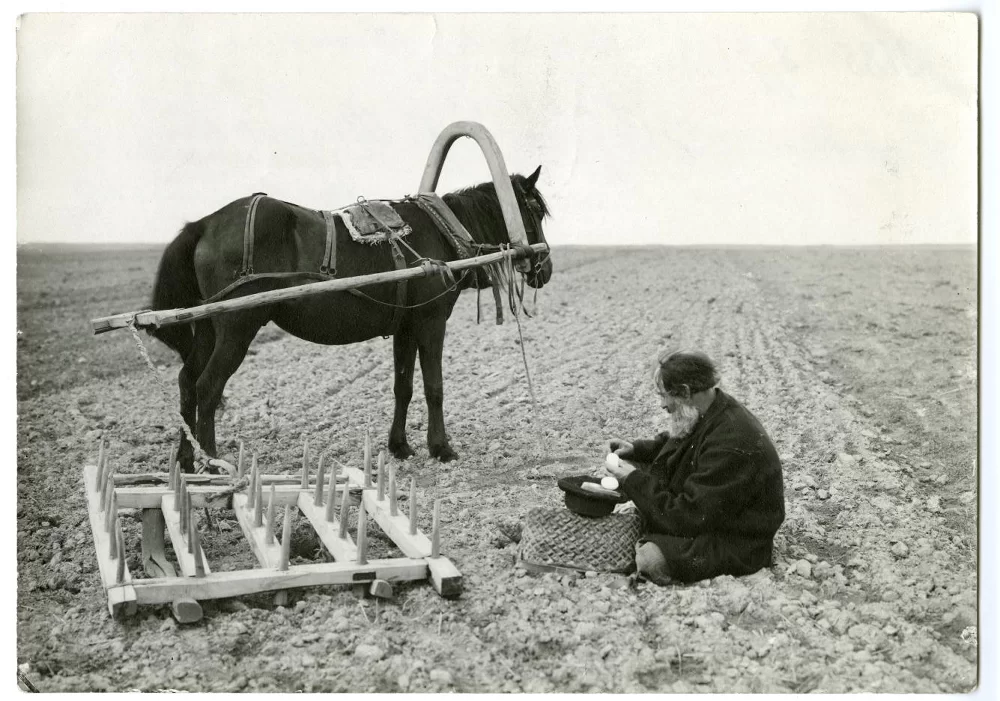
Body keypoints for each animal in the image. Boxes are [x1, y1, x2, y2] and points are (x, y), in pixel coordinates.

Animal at [149, 165, 556, 470]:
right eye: (536, 210)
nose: (545, 268)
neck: (442, 232)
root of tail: (204, 223)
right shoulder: (431, 322)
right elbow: (434, 387)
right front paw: (441, 448)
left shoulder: (406, 327)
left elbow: (403, 387)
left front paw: (399, 446)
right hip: (237, 327)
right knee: (208, 386)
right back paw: (212, 463)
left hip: (208, 325)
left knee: (187, 382)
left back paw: (187, 459)